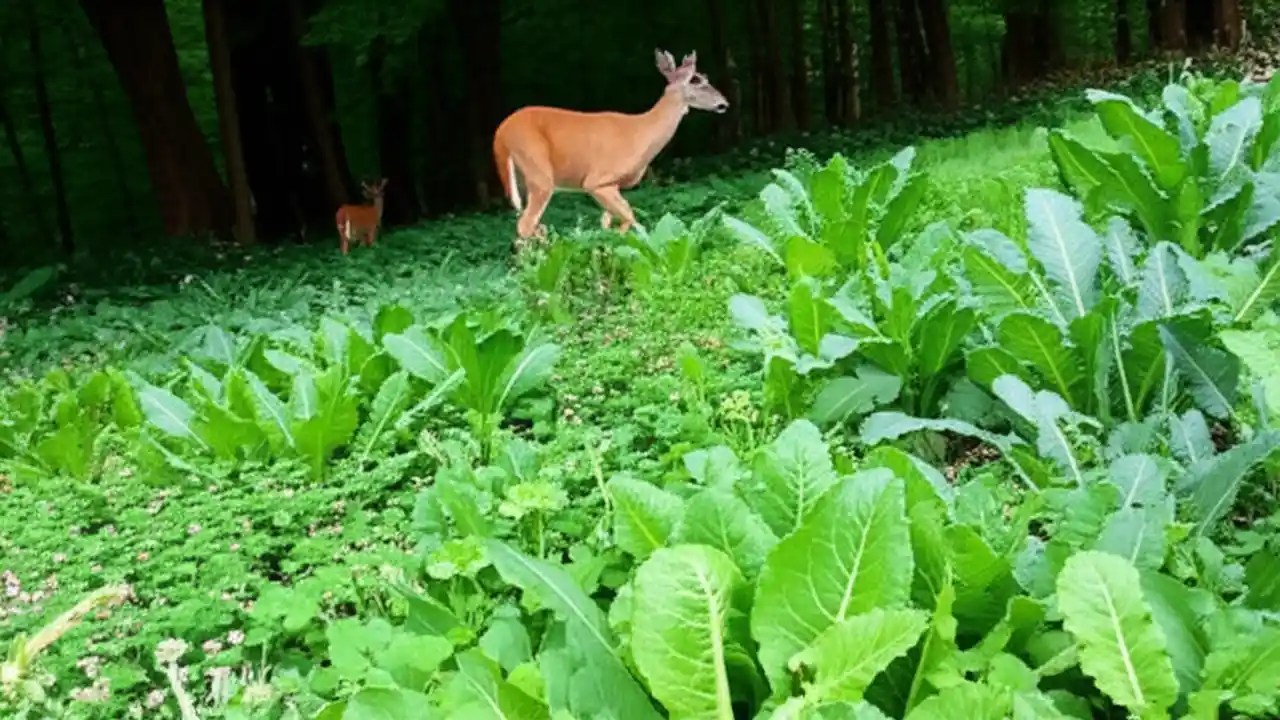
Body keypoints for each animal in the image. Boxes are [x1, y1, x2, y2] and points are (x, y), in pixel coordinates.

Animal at [492, 49, 728, 241]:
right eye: (695, 80)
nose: (723, 104)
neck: (641, 132)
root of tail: (500, 135)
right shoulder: (597, 179)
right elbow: (630, 217)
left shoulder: (612, 185)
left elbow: (610, 222)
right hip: (537, 168)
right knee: (526, 224)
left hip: (522, 182)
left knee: (529, 225)